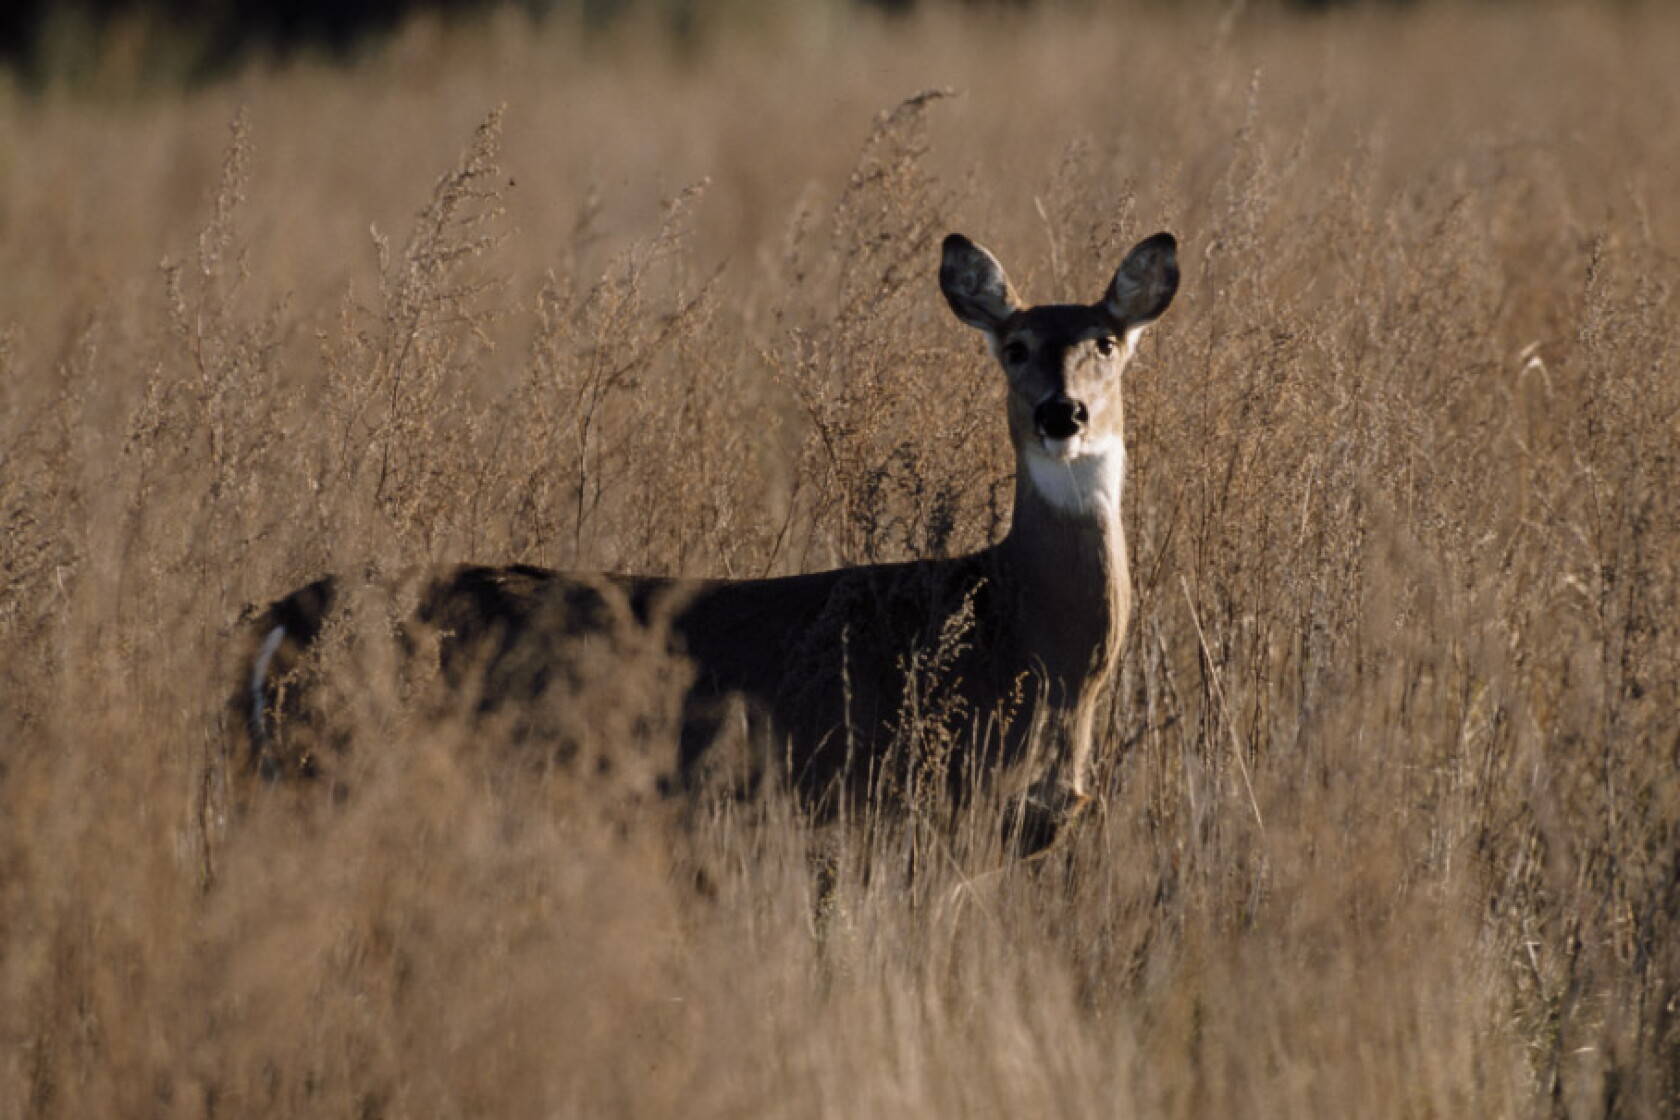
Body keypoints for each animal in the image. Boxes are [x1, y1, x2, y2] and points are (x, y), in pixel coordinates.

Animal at [239, 230, 1179, 855]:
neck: (1026, 640)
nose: (1063, 413)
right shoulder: (893, 807)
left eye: (1106, 342)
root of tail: (277, 621)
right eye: (1014, 347)